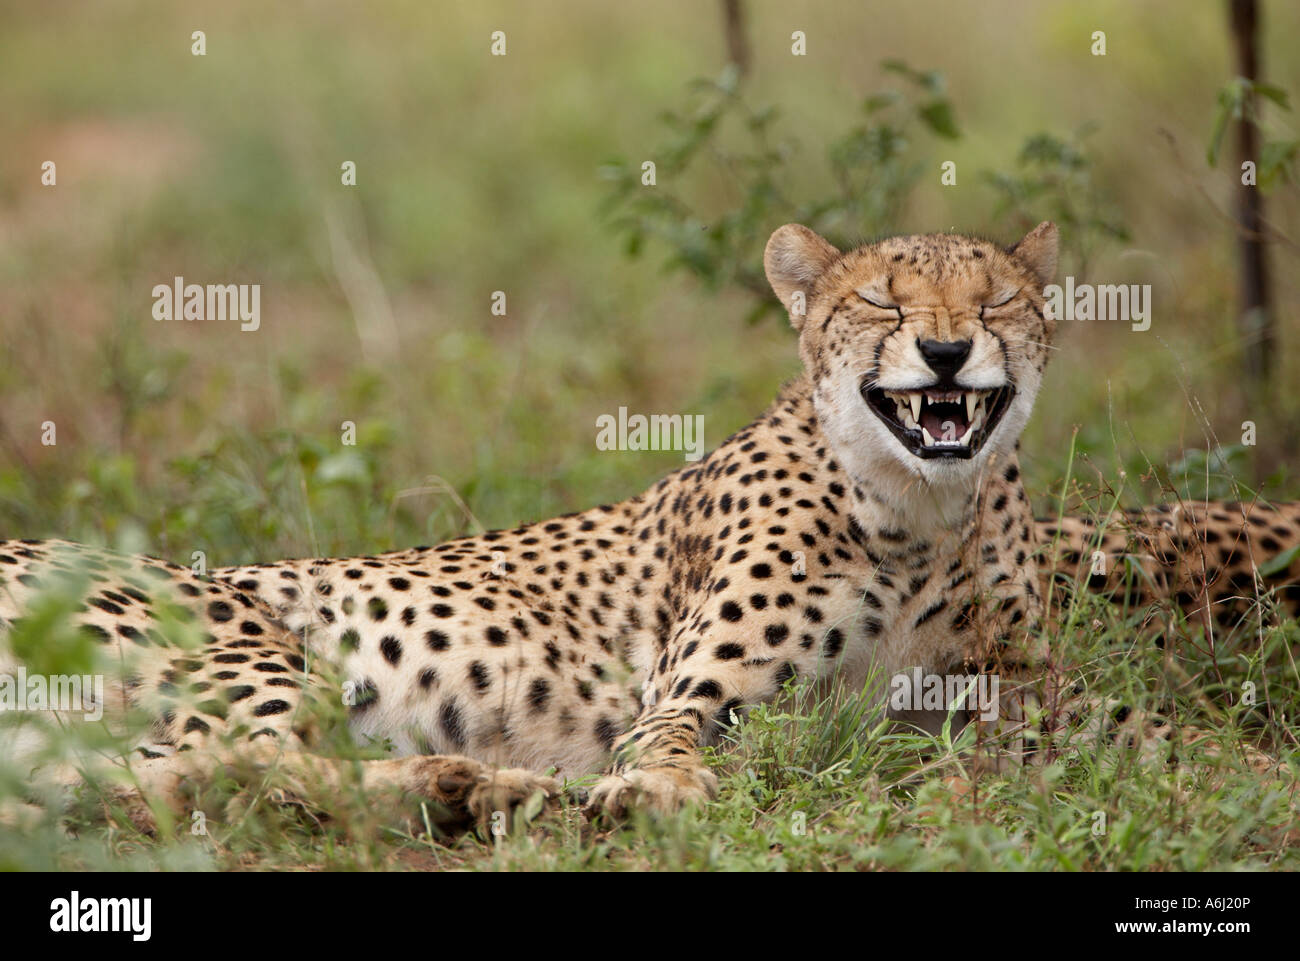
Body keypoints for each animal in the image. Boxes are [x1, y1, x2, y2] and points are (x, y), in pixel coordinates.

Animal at [3, 221, 1298, 834]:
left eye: (996, 302)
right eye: (882, 301)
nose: (943, 350)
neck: (915, 513)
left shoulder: (1021, 693)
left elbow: (1151, 731)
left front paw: (1253, 778)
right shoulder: (688, 700)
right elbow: (671, 749)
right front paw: (652, 797)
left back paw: (464, 789)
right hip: (241, 651)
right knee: (206, 765)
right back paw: (468, 786)